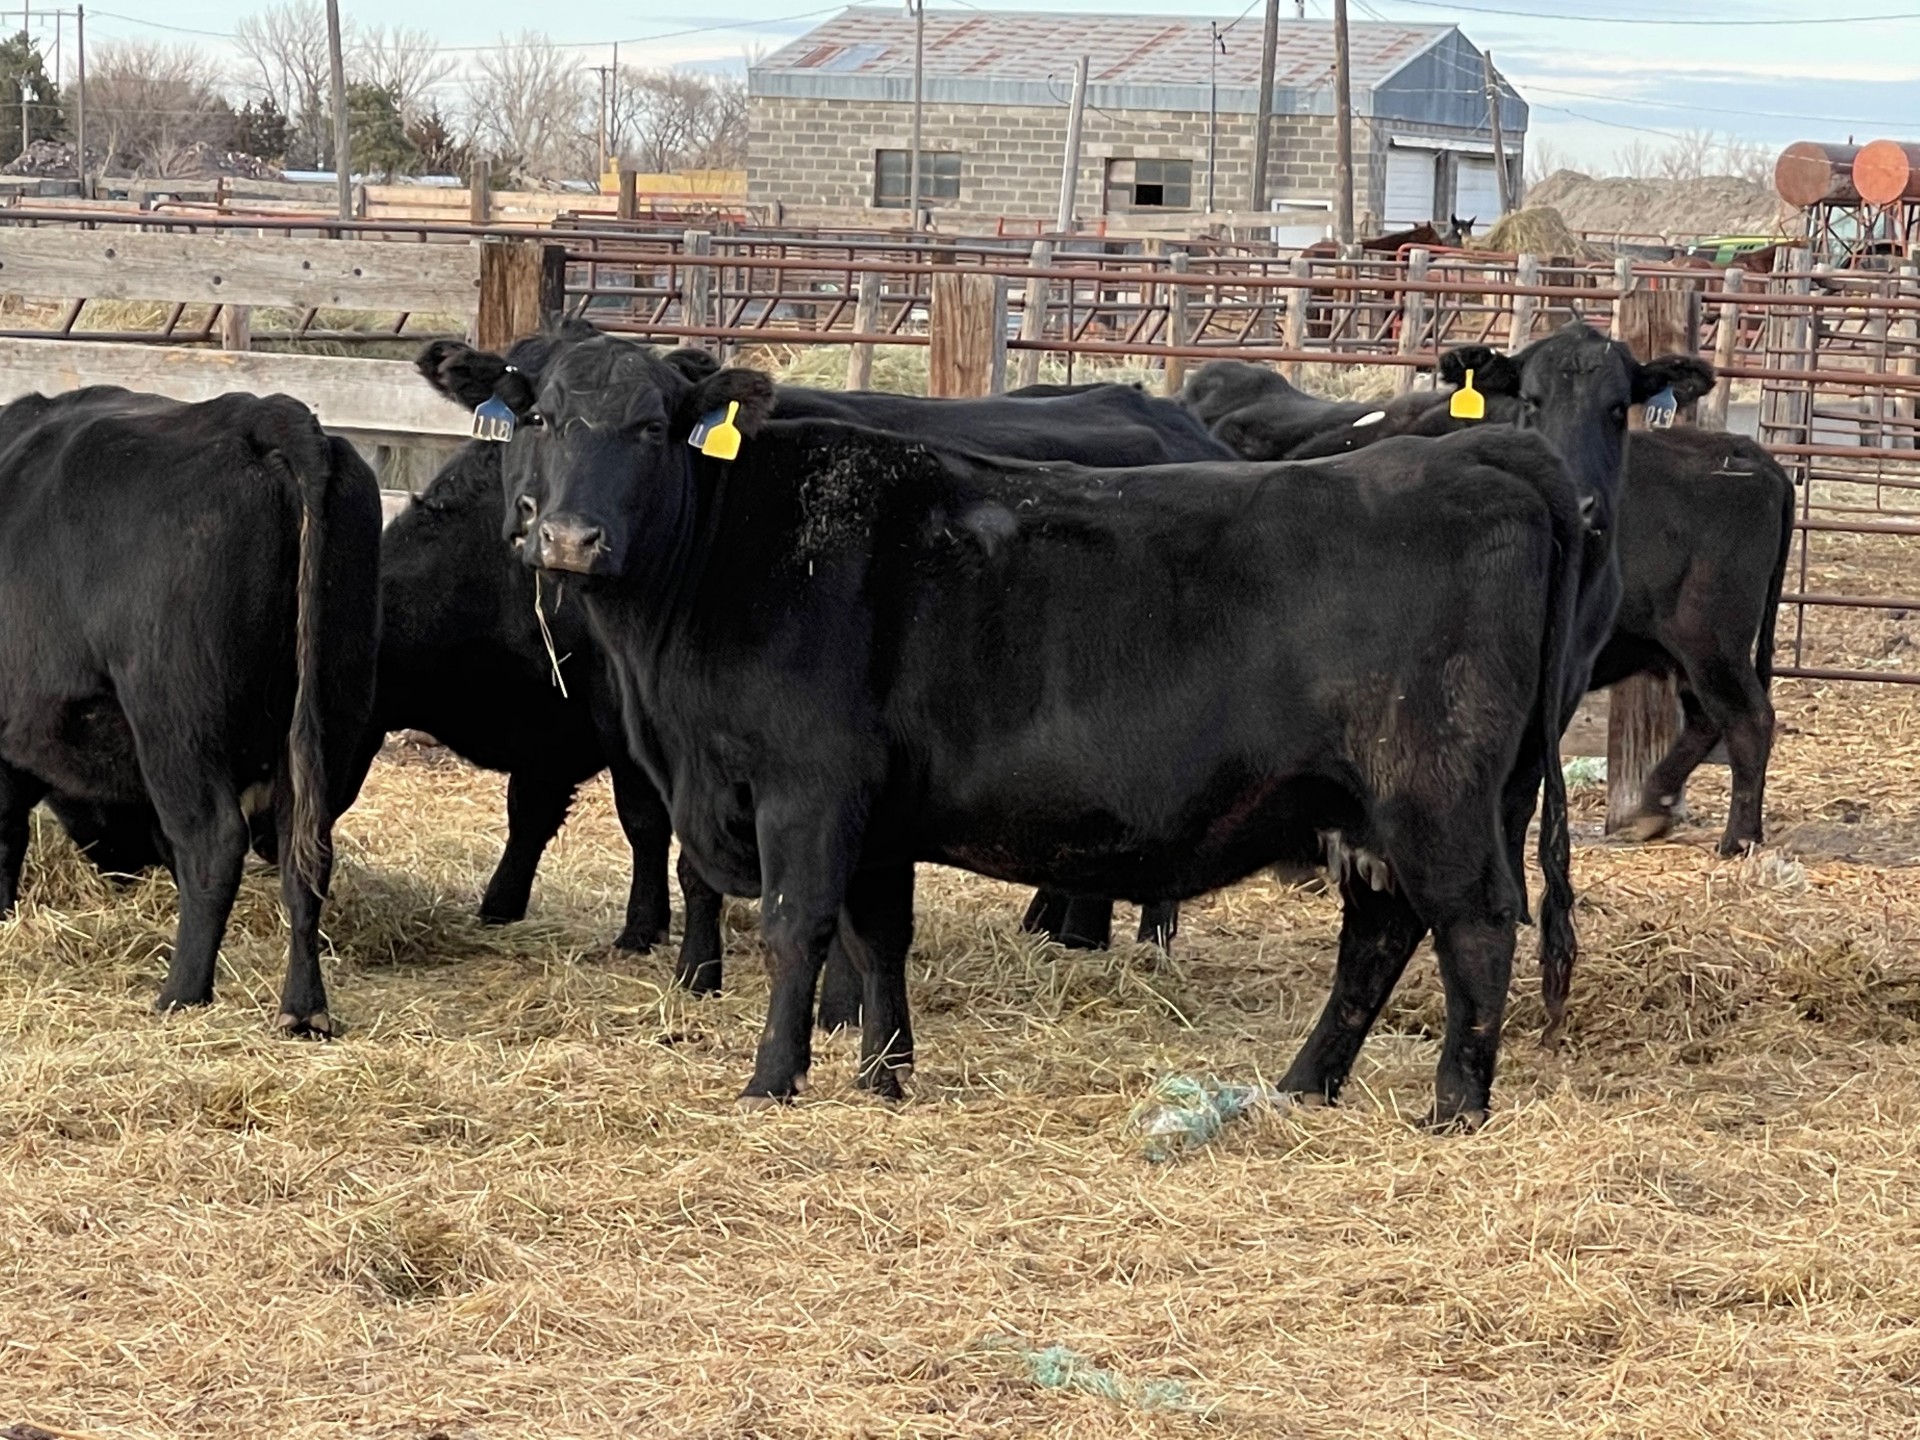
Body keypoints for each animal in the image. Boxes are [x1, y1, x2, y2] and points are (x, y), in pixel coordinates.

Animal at [0, 387, 381, 1033]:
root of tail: (263, 413)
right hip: (331, 718)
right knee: (307, 854)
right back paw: (304, 1010)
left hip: (174, 719)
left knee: (211, 843)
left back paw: (180, 995)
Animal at [420, 325, 1609, 1129]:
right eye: (539, 418)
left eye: (650, 427)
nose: (568, 538)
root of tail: (1479, 458)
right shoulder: (878, 813)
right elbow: (879, 937)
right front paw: (885, 1076)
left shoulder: (807, 789)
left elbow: (797, 929)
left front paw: (772, 1081)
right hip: (1366, 810)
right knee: (1377, 936)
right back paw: (1303, 1087)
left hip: (1435, 795)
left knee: (1474, 926)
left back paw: (1455, 1107)